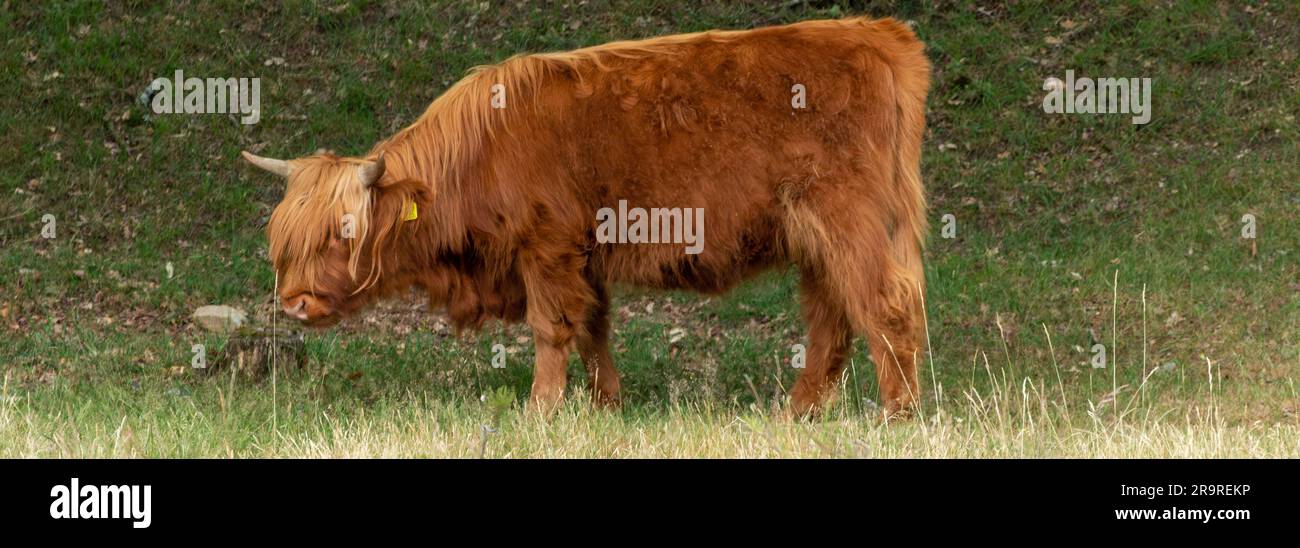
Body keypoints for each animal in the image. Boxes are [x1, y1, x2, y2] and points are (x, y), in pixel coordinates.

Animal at [241, 16, 931, 417]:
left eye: (341, 232)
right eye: (283, 240)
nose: (294, 304)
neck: (477, 152)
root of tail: (876, 33)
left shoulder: (547, 247)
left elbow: (552, 328)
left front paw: (540, 411)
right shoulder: (587, 254)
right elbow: (595, 327)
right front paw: (604, 406)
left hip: (849, 222)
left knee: (885, 307)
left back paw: (897, 416)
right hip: (819, 240)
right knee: (831, 321)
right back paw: (799, 412)